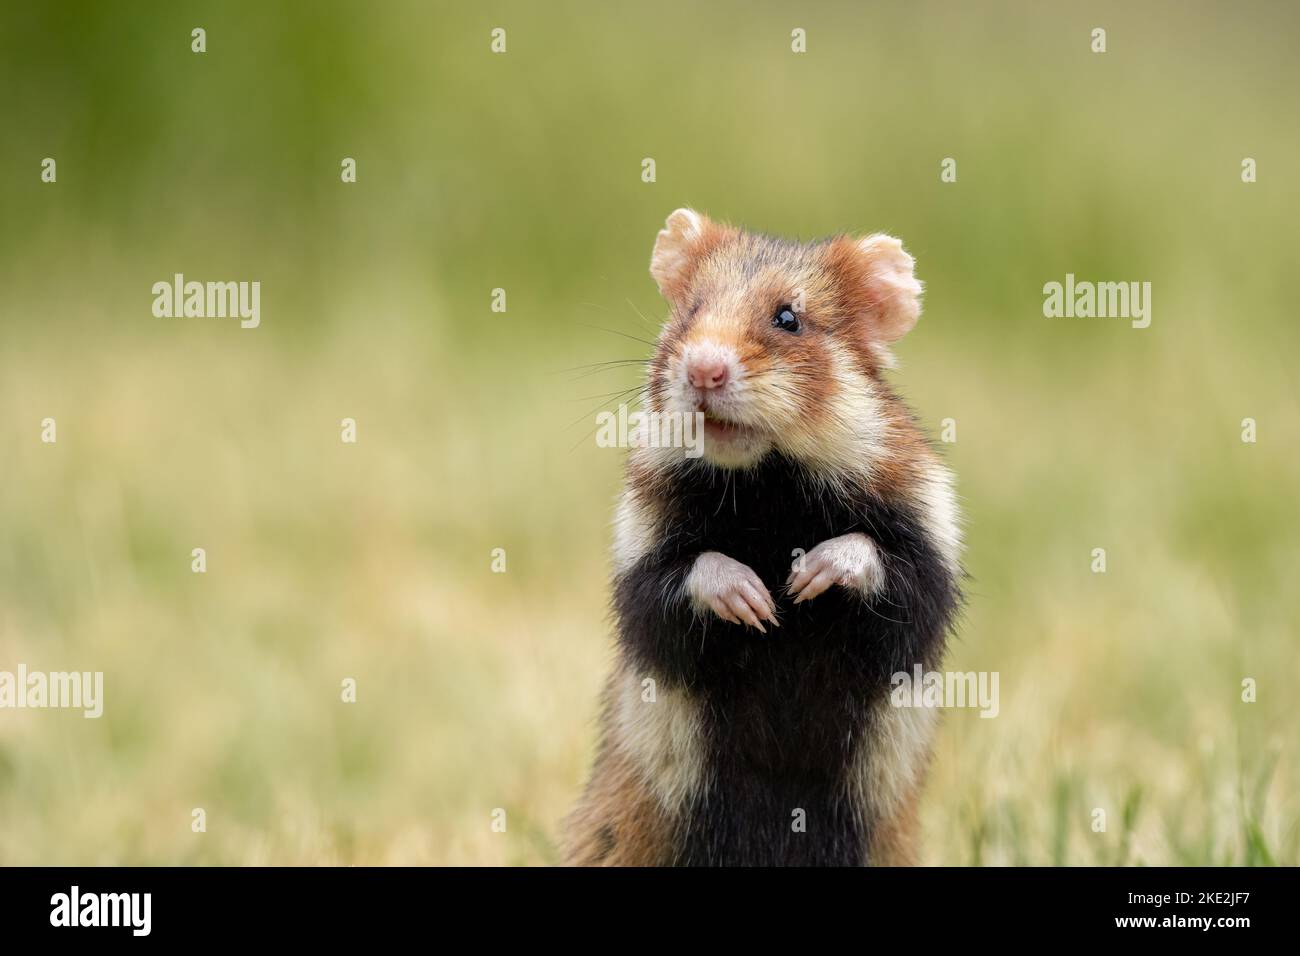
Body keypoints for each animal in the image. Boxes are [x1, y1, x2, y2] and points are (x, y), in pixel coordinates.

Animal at [562, 208, 963, 866]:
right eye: (691, 309)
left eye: (788, 317)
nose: (703, 368)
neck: (768, 486)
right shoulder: (641, 560)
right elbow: (683, 578)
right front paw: (756, 601)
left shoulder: (927, 557)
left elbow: (882, 563)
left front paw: (803, 580)